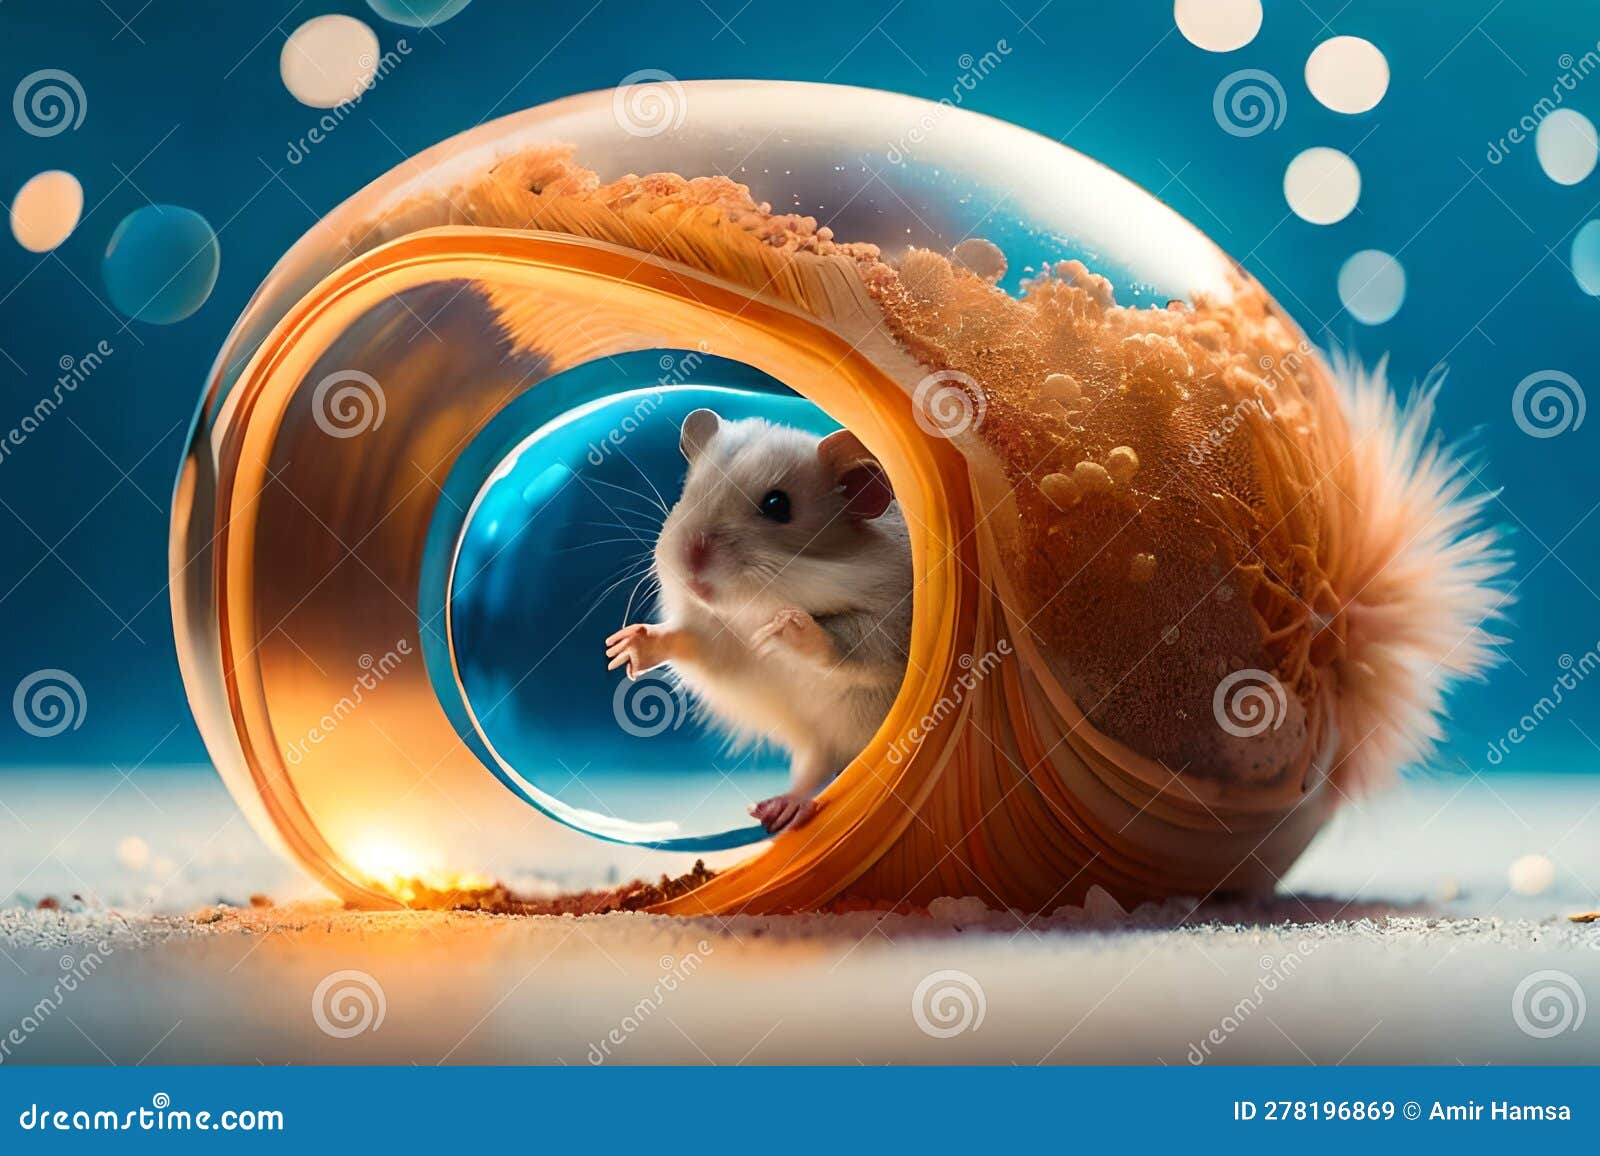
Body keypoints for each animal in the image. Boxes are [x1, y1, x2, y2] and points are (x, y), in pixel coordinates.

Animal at [605, 408, 914, 833]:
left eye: (777, 505)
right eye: (688, 490)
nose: (688, 568)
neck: (751, 608)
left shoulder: (893, 624)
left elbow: (851, 644)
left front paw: (784, 629)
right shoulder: (723, 644)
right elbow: (691, 641)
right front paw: (623, 648)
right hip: (817, 732)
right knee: (815, 767)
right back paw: (776, 810)